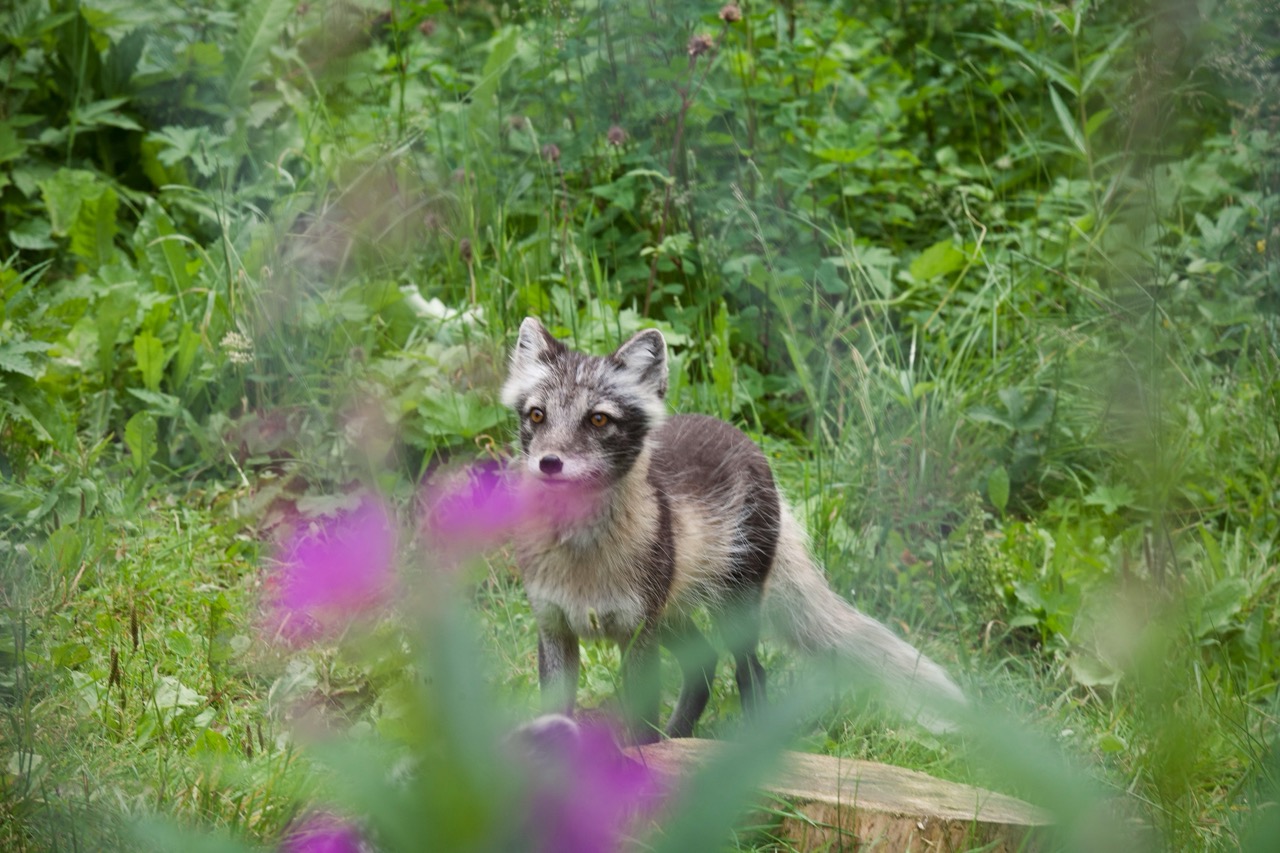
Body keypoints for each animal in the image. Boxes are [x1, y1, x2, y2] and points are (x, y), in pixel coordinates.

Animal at [500, 316, 965, 742]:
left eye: (598, 420)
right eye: (537, 415)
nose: (549, 463)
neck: (582, 562)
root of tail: (740, 437)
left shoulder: (637, 634)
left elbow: (641, 729)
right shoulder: (553, 628)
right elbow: (556, 716)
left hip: (732, 612)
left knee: (751, 674)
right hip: (674, 616)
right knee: (705, 666)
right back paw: (681, 739)